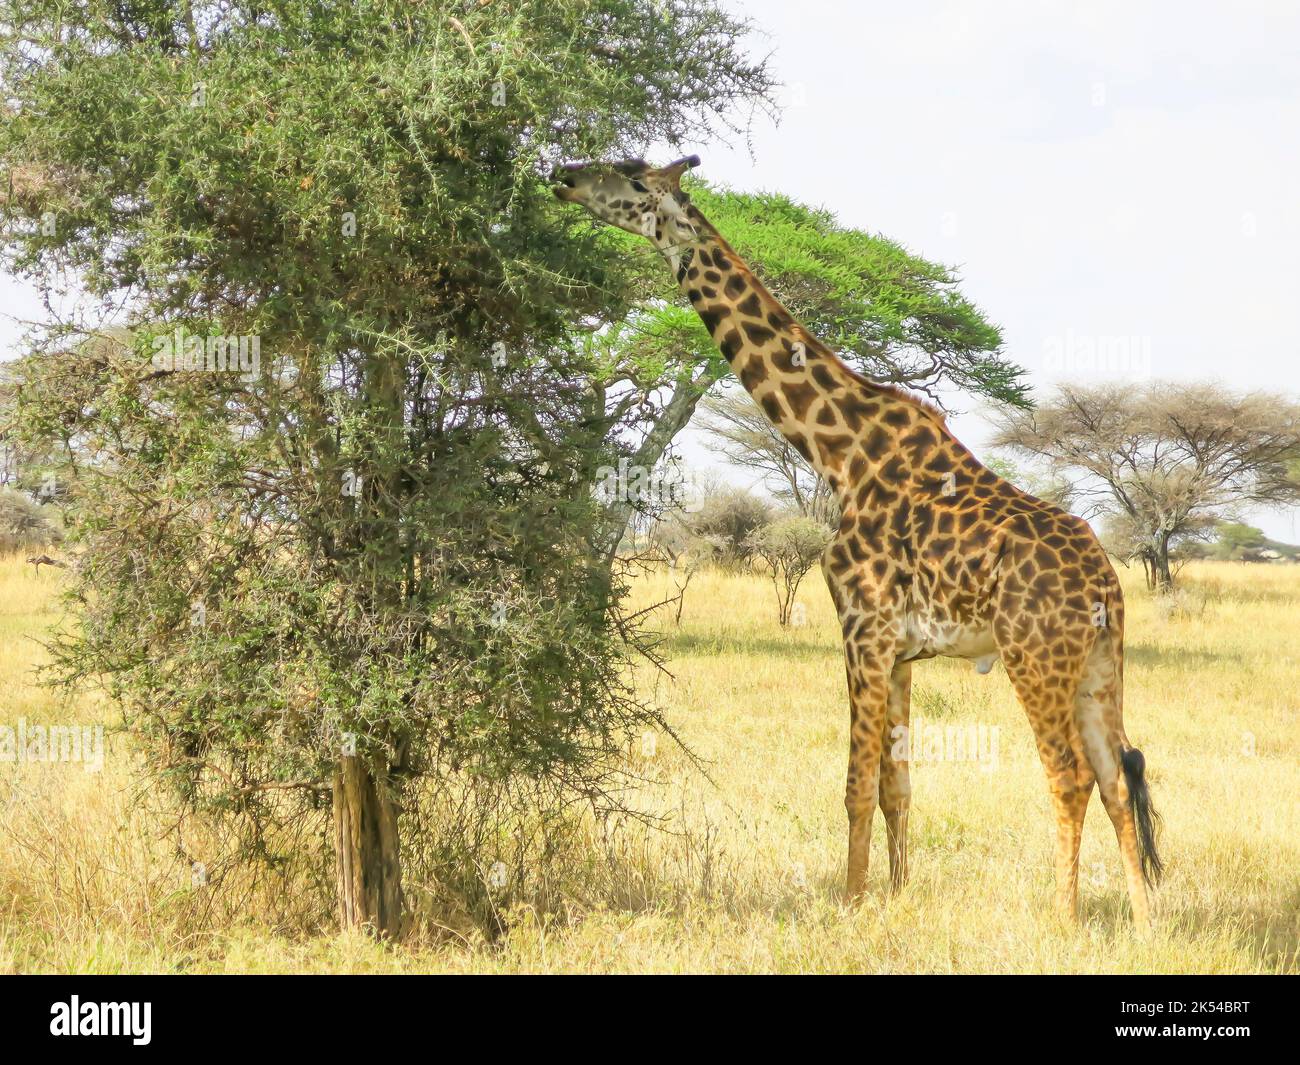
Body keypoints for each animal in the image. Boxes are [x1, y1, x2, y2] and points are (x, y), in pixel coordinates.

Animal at [553, 155, 1163, 932]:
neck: (837, 452)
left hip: (1035, 657)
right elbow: (896, 786)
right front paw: (896, 899)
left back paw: (1063, 918)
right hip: (1099, 665)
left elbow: (852, 785)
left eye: (631, 177)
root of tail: (1105, 586)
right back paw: (1143, 920)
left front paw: (849, 904)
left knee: (1069, 773)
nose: (564, 177)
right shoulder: (901, 653)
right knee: (1119, 773)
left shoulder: (861, 628)